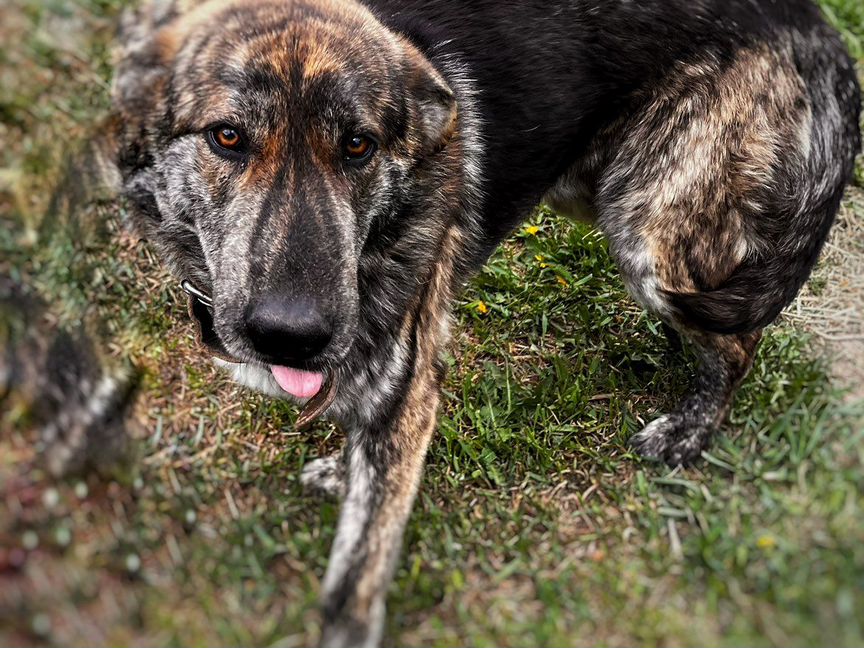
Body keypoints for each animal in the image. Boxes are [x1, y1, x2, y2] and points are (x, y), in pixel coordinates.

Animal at [111, 2, 860, 644]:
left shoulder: (404, 388)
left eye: (358, 146)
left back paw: (690, 428)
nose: (292, 335)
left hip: (647, 228)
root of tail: (813, 21)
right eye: (227, 137)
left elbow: (355, 579)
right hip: (594, 189)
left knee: (739, 338)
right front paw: (341, 470)